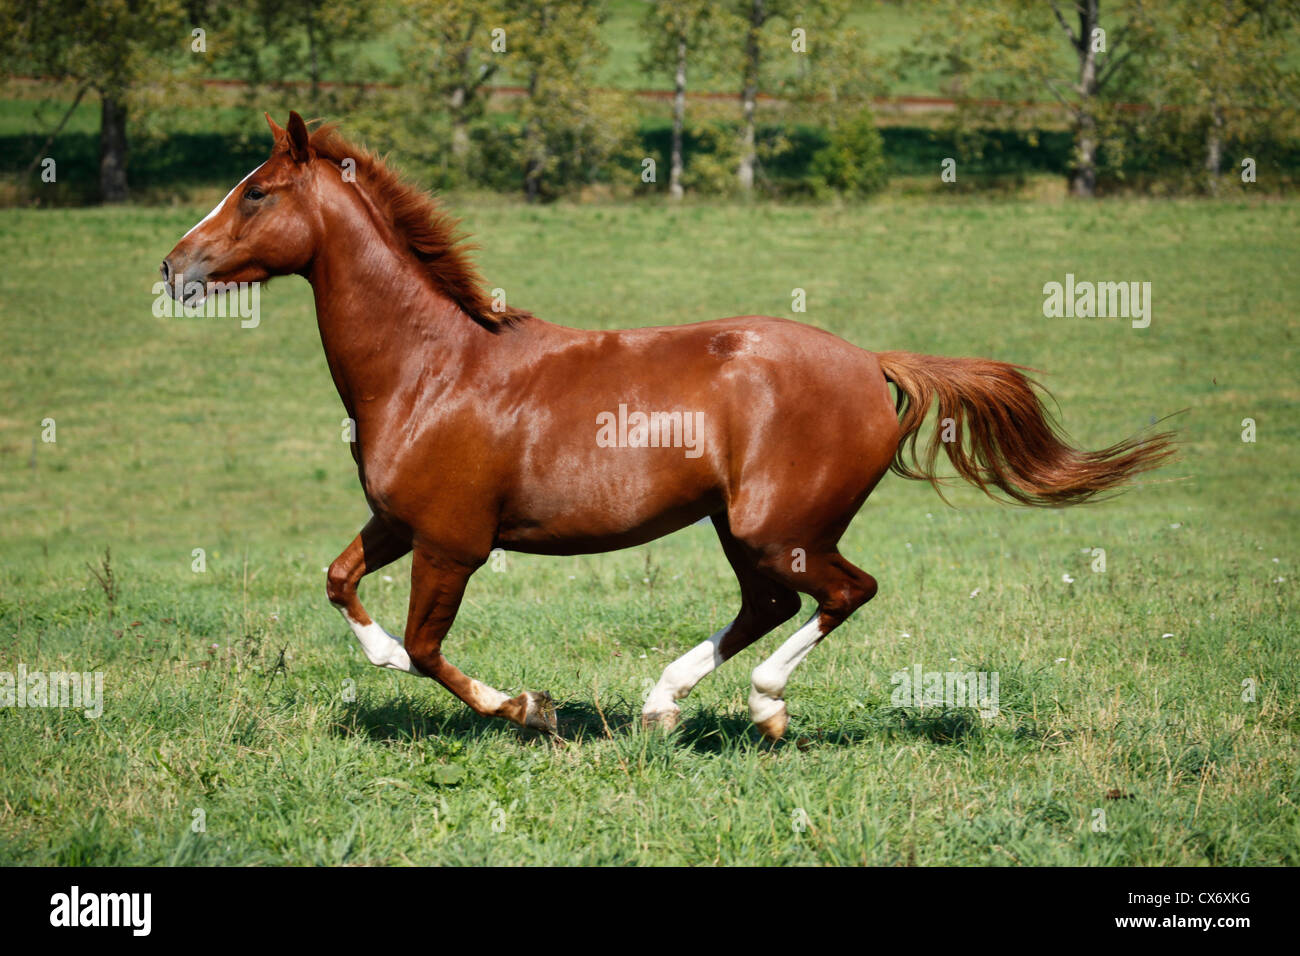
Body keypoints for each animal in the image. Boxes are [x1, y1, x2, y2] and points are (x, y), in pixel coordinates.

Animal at [161, 112, 1174, 742]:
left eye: (255, 194)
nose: (174, 266)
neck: (432, 369)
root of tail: (870, 361)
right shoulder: (398, 522)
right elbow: (341, 583)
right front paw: (383, 661)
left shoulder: (451, 543)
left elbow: (428, 649)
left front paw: (529, 708)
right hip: (743, 528)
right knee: (770, 605)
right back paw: (661, 704)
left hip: (777, 528)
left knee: (843, 593)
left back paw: (762, 707)